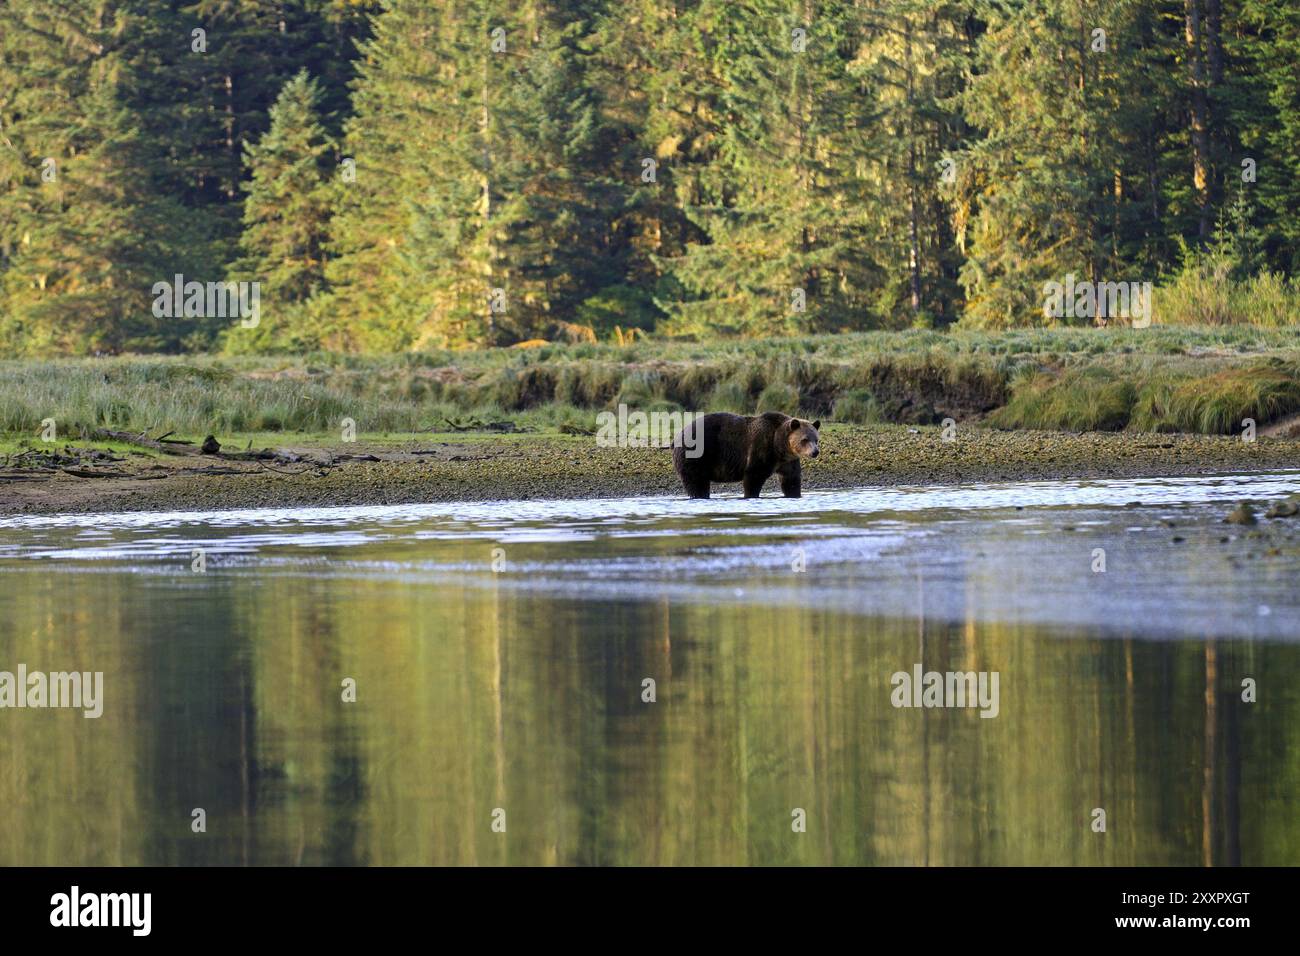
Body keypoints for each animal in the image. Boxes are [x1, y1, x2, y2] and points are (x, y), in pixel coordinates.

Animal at [672, 411, 820, 499]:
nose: (815, 452)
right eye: (805, 439)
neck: (779, 445)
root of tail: (678, 436)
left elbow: (791, 480)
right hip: (695, 455)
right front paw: (751, 495)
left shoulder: (788, 461)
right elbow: (753, 477)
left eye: (816, 439)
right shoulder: (761, 449)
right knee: (696, 482)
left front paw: (794, 494)